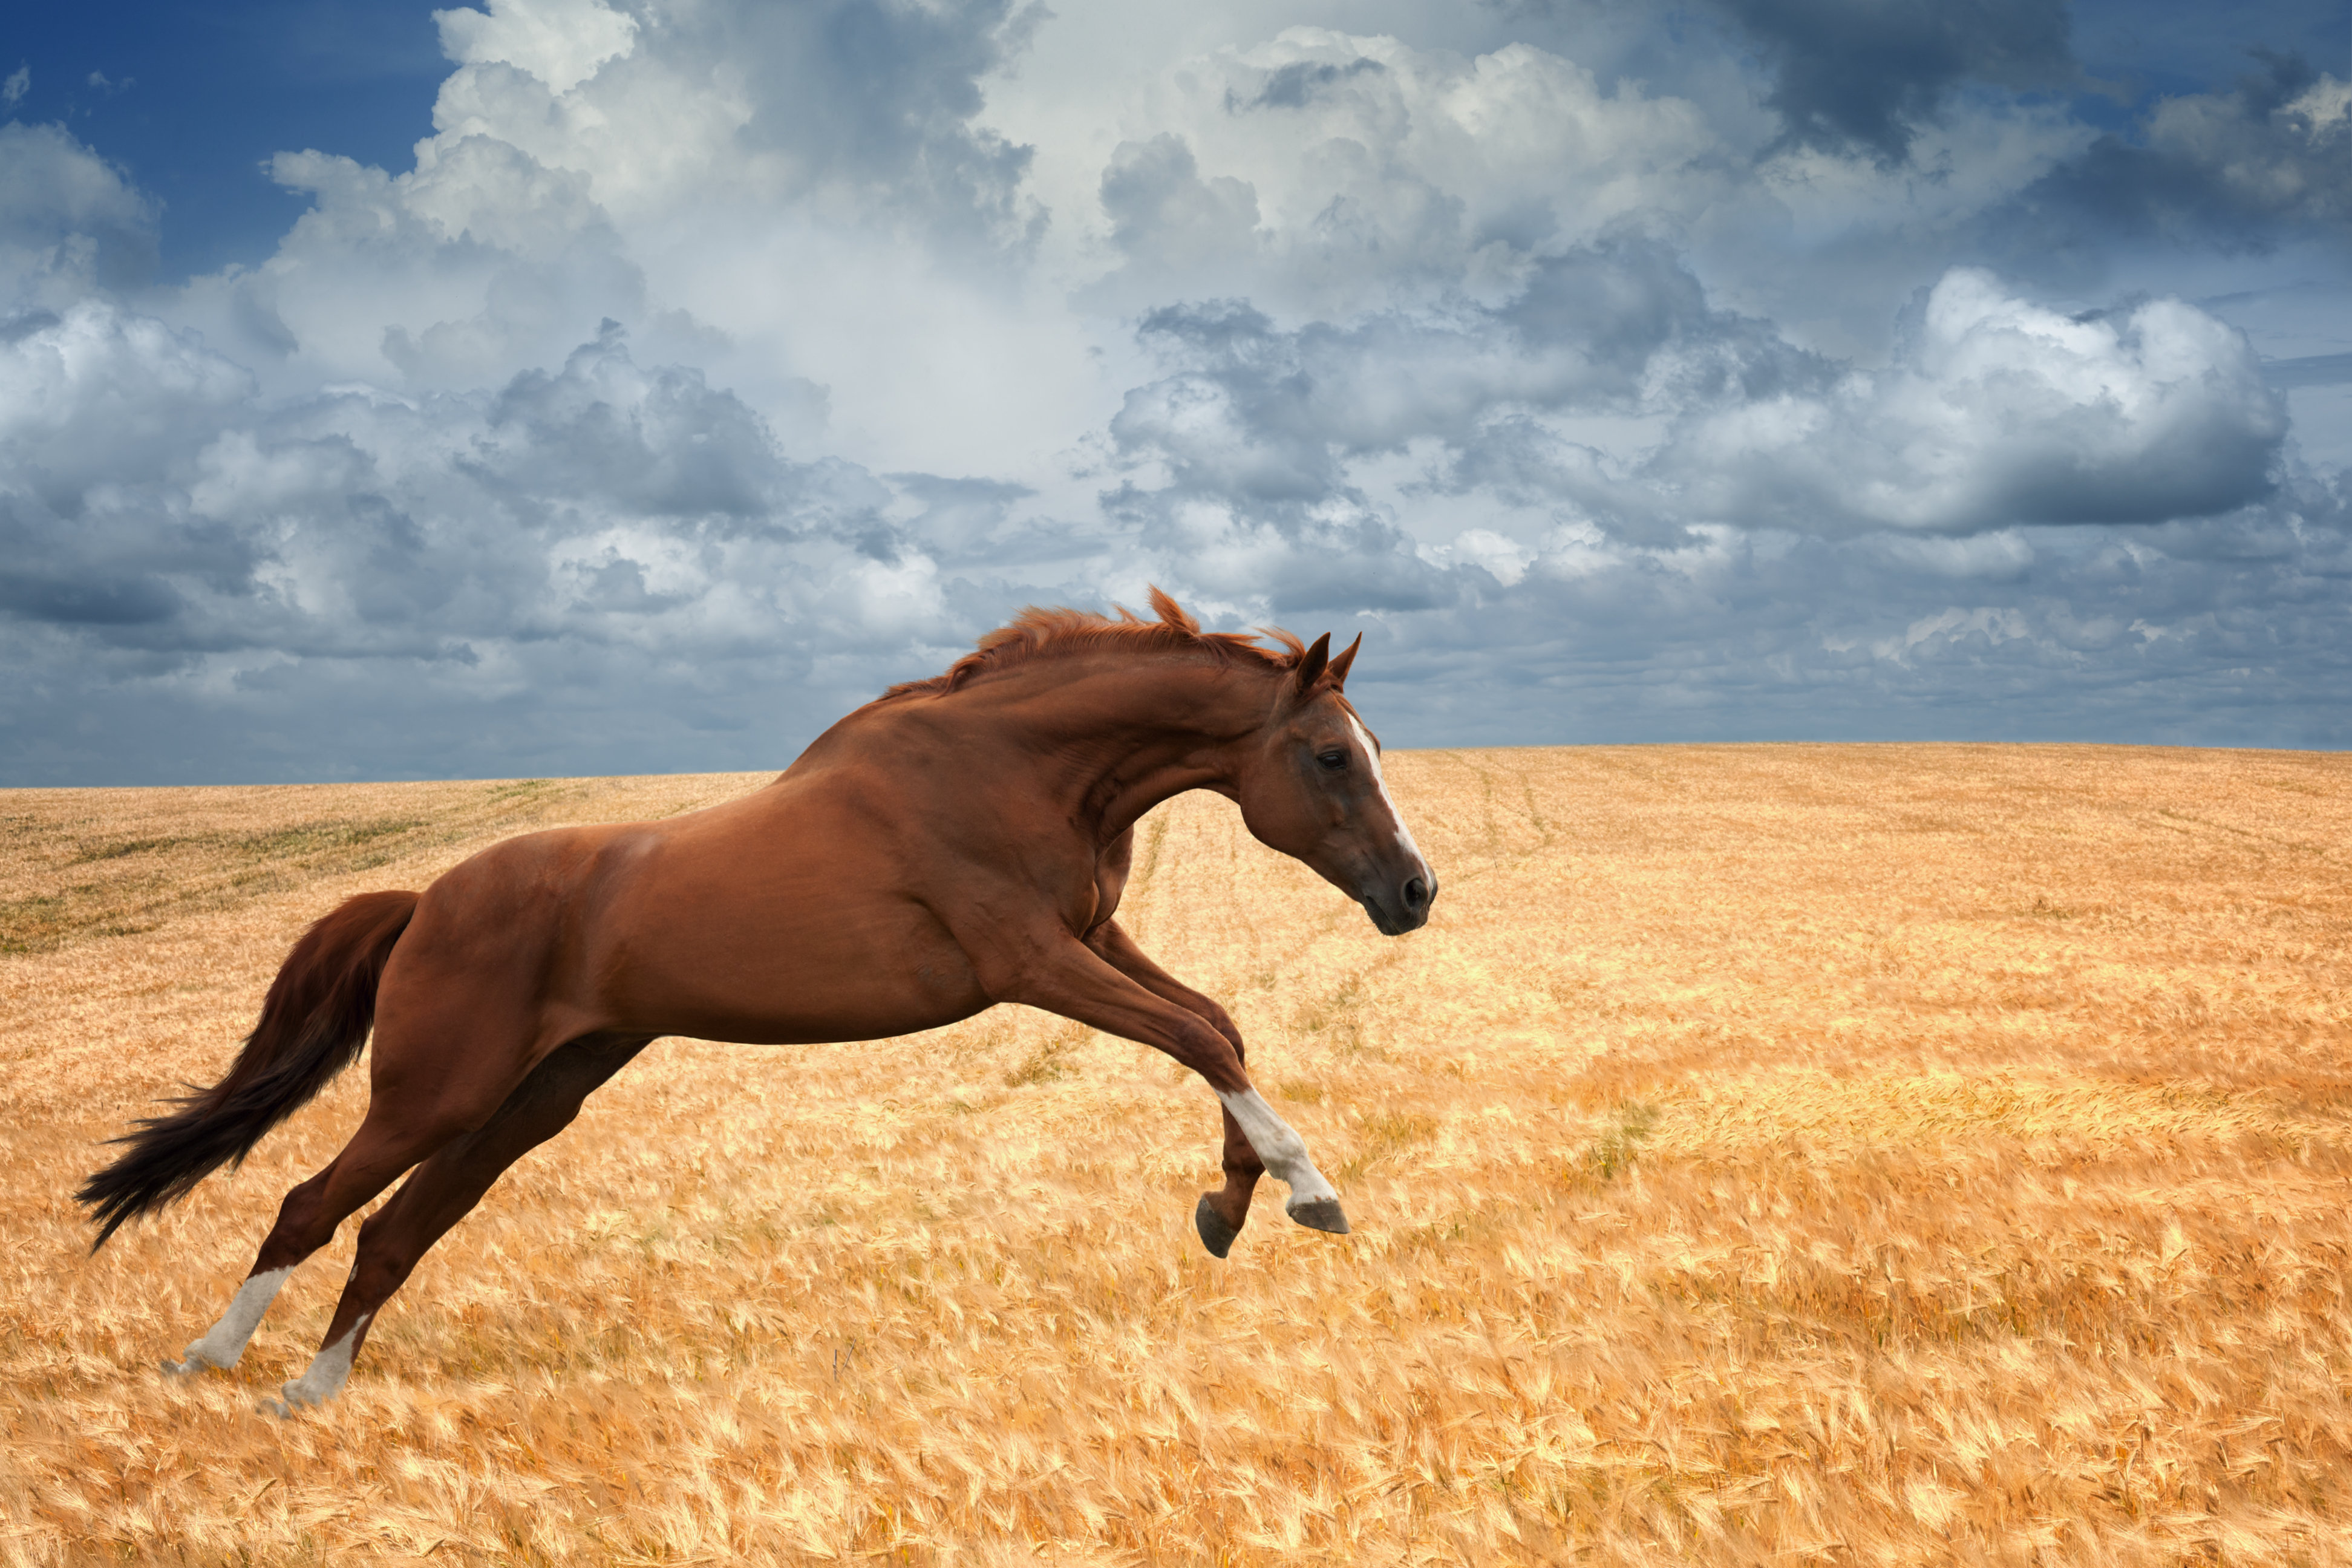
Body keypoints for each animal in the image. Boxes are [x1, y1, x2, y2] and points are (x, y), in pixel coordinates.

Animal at [79, 590, 1437, 1416]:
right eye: (1330, 755)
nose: (1415, 893)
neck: (1013, 767)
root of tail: (425, 901)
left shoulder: (1094, 937)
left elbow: (1220, 1025)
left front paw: (1227, 1204)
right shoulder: (1031, 961)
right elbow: (1201, 1032)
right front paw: (1305, 1192)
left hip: (537, 1097)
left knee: (397, 1230)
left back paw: (312, 1390)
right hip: (437, 1092)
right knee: (313, 1204)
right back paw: (210, 1359)